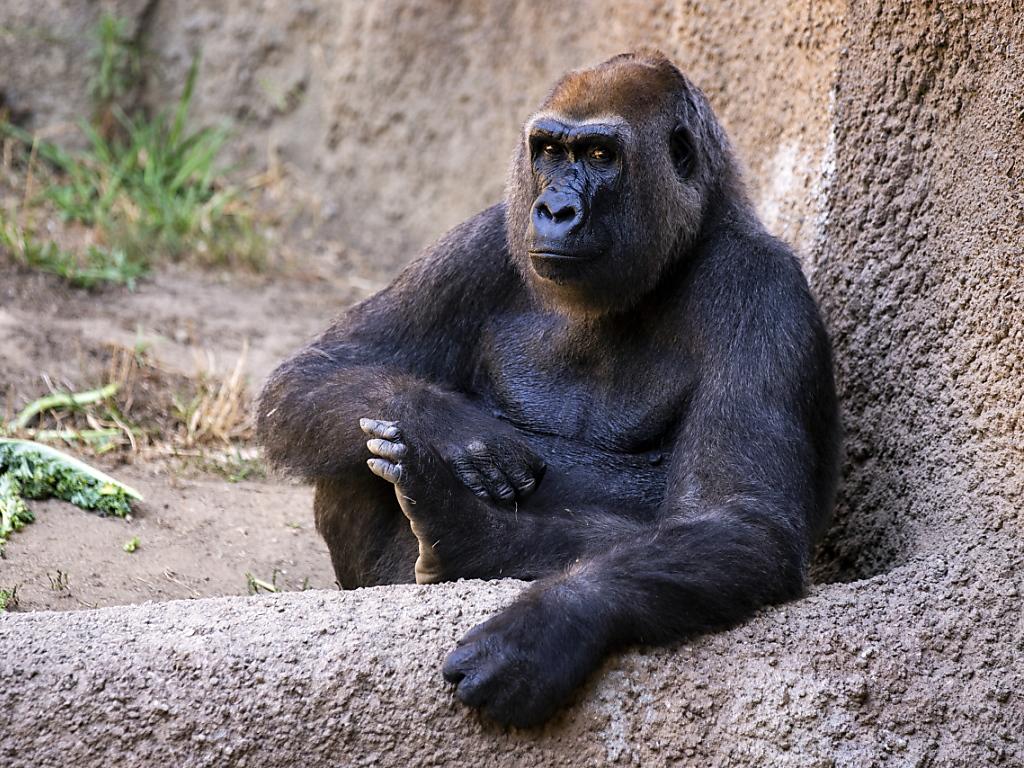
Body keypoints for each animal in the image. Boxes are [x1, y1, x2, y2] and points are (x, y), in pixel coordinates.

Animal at [256, 49, 840, 728]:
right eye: (550, 151)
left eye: (599, 156)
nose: (555, 210)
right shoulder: (481, 242)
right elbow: (313, 371)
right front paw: (456, 431)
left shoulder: (763, 291)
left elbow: (741, 520)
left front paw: (545, 627)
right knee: (350, 443)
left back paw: (469, 536)